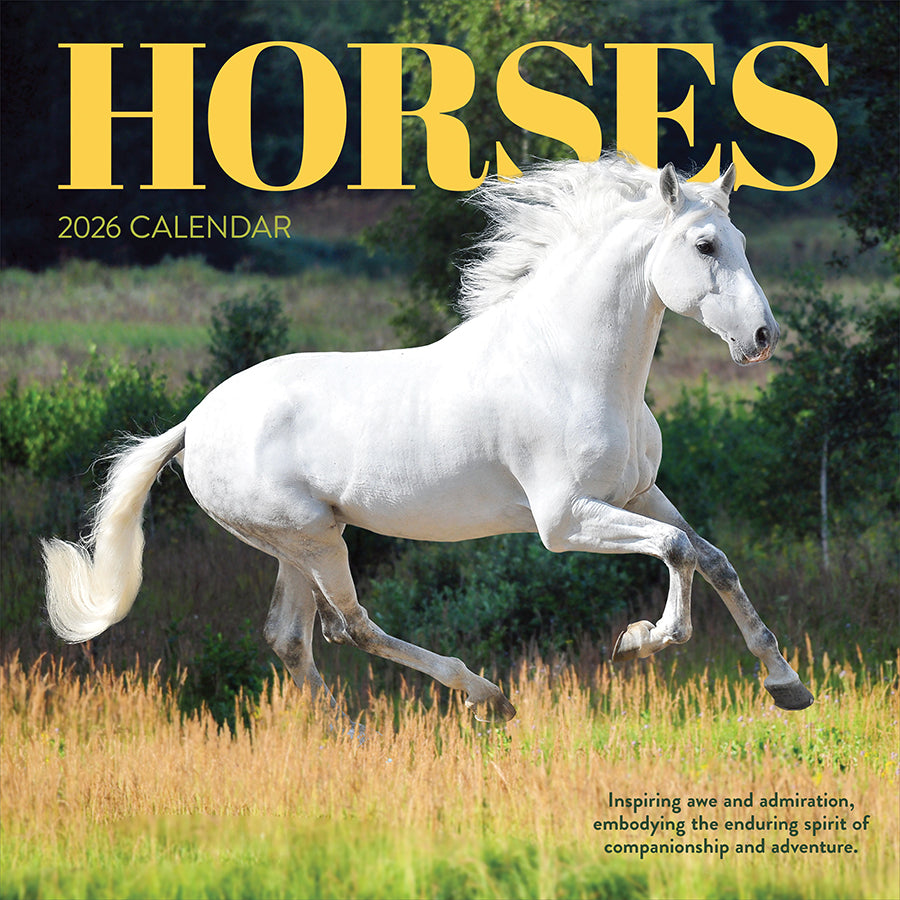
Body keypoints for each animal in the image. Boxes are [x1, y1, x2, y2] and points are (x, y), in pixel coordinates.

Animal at [42, 156, 815, 721]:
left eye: (742, 243)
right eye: (705, 245)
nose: (762, 337)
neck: (570, 364)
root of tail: (195, 423)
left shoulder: (639, 493)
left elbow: (713, 559)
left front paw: (786, 684)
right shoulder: (564, 521)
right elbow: (678, 552)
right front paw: (640, 641)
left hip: (295, 544)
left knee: (292, 639)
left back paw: (351, 738)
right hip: (313, 539)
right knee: (349, 627)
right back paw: (486, 698)